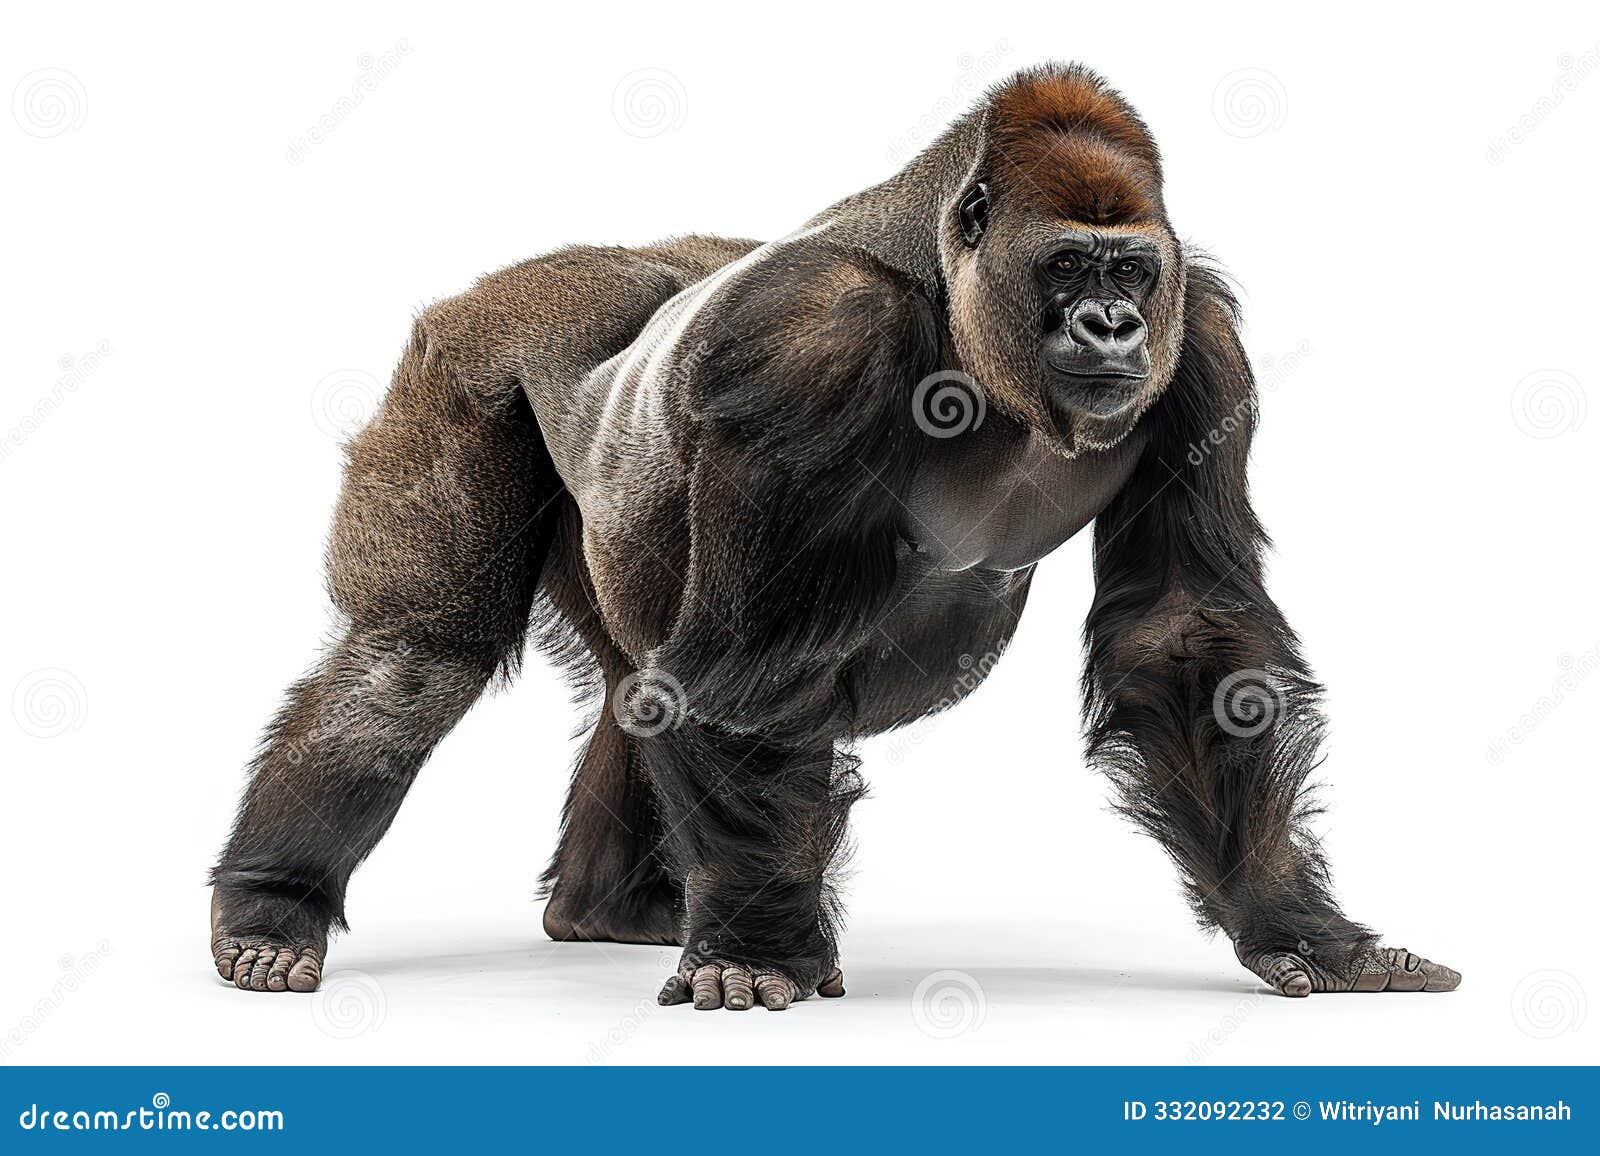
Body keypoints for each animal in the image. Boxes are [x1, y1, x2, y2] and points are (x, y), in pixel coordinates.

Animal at [211, 63, 1459, 1010]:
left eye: (1128, 270)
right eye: (1065, 265)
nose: (1110, 325)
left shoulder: (1197, 337)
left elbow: (1181, 632)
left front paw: (1291, 921)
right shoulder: (814, 337)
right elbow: (749, 666)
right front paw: (760, 949)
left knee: (631, 678)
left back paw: (610, 906)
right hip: (469, 353)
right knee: (417, 656)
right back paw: (274, 906)